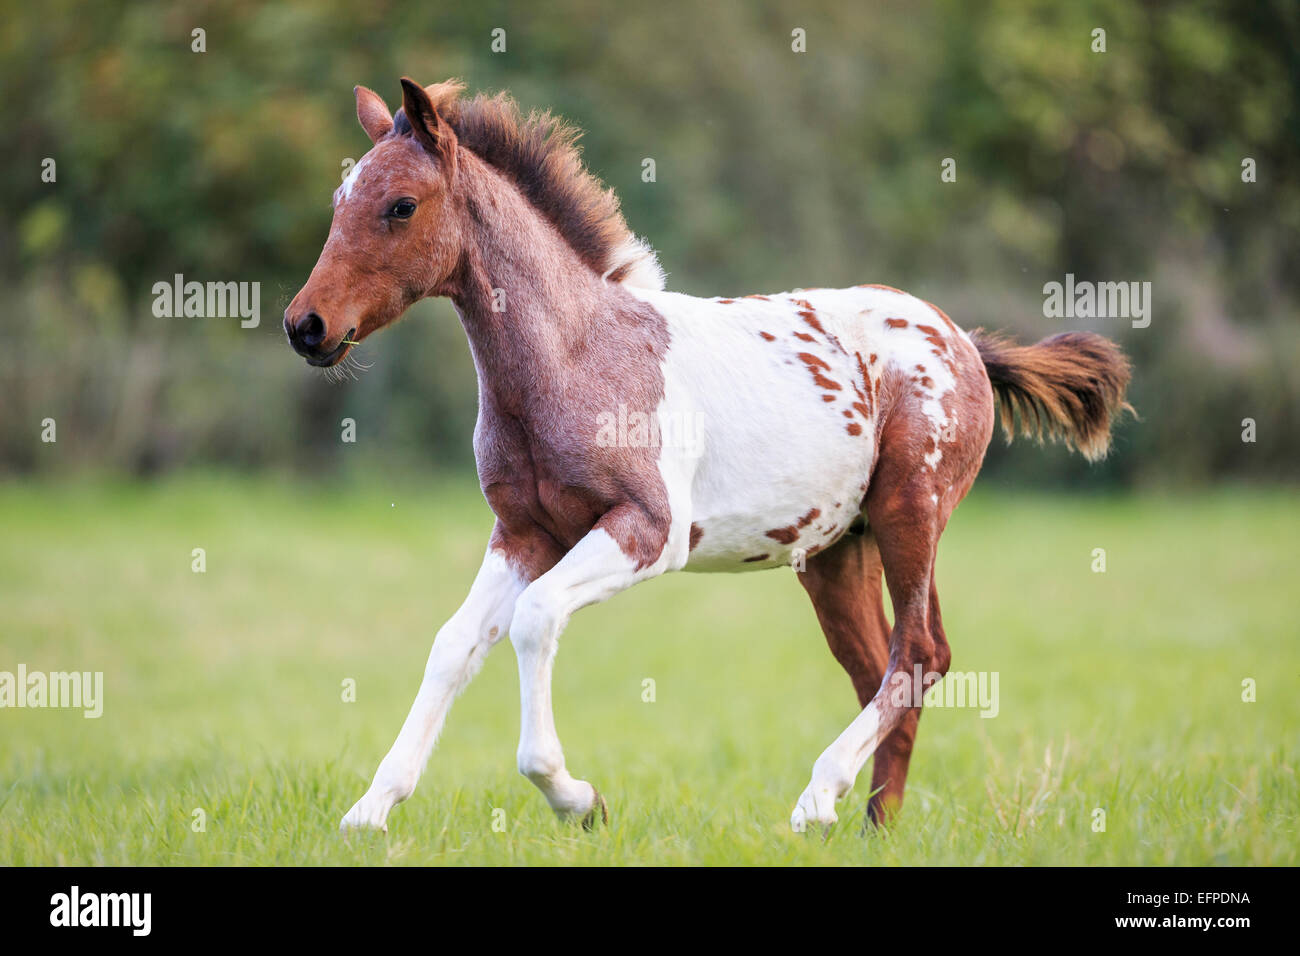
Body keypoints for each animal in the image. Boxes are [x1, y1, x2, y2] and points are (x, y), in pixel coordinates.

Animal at [284, 77, 1132, 834]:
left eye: (400, 205)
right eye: (337, 202)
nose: (306, 325)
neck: (577, 357)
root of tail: (964, 342)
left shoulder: (647, 531)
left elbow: (534, 618)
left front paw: (576, 799)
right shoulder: (524, 533)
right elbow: (453, 645)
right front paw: (369, 811)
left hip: (910, 512)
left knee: (920, 653)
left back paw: (817, 801)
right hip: (835, 552)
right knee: (878, 667)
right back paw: (872, 826)